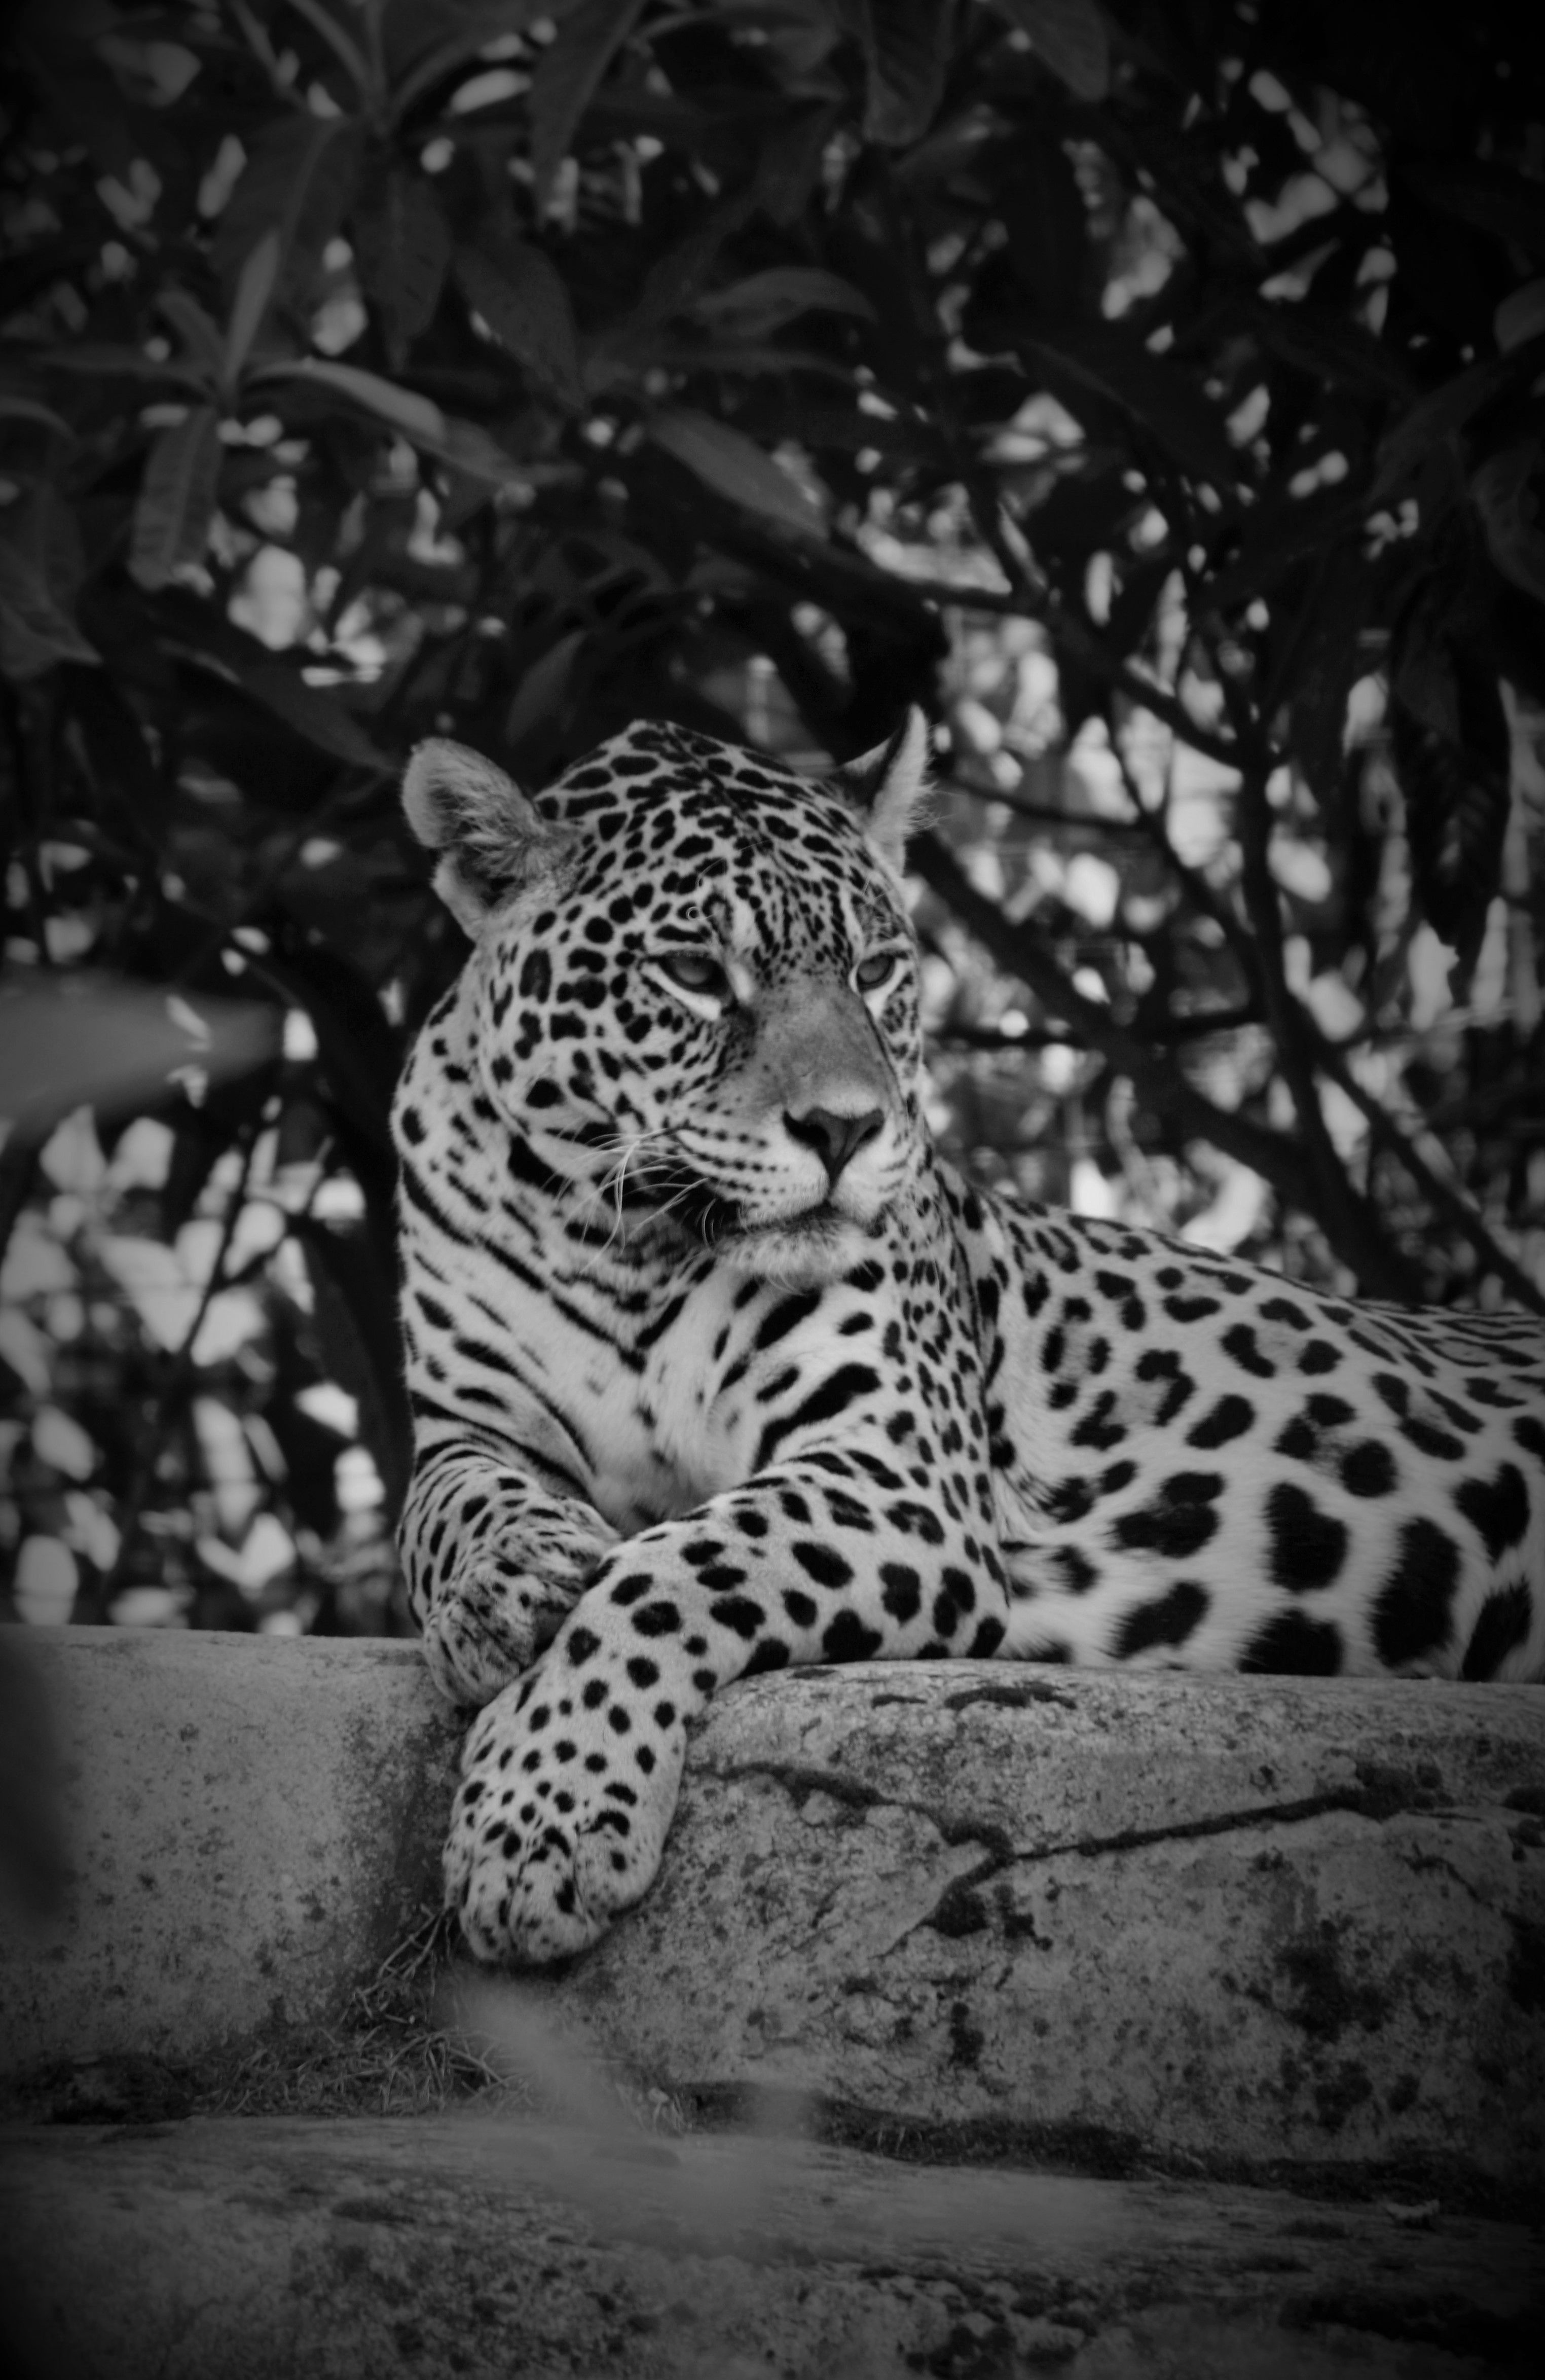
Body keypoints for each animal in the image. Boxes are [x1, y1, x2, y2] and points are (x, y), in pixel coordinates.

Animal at [393, 709, 1545, 1967]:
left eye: (876, 970)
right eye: (695, 976)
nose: (847, 1130)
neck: (624, 1240)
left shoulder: (897, 1475)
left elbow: (670, 1567)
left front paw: (541, 1817)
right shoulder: (467, 1426)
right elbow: (441, 1510)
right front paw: (501, 1587)